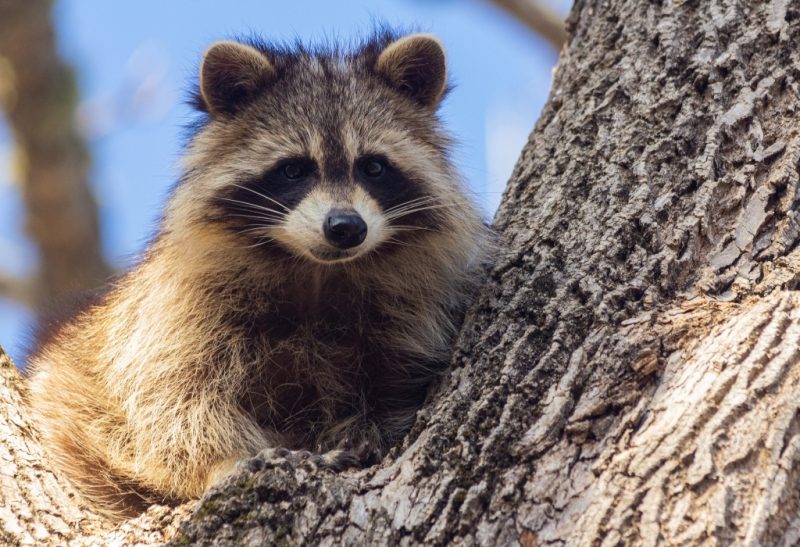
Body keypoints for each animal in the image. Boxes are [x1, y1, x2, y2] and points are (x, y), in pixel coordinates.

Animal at [26, 30, 490, 519]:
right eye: (293, 169)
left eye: (374, 167)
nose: (346, 228)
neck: (317, 271)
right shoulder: (180, 312)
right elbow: (172, 400)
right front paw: (227, 459)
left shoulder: (408, 318)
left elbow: (393, 390)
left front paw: (362, 431)